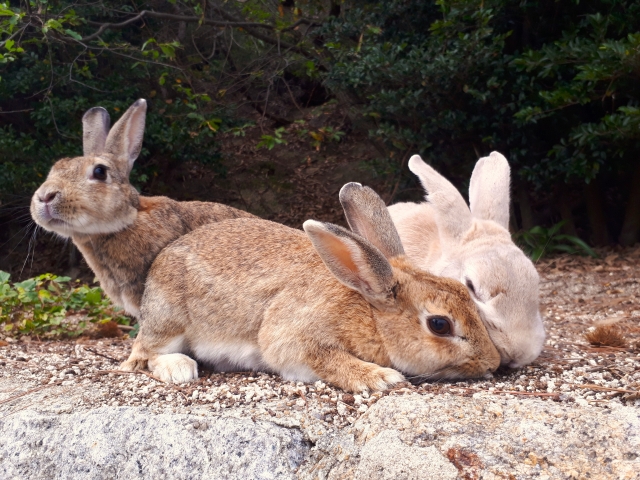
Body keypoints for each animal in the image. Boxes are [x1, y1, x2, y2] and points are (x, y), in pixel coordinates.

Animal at [120, 182, 501, 392]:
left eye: (463, 290)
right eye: (440, 324)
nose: (493, 363)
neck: (368, 311)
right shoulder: (294, 337)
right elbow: (327, 358)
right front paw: (381, 377)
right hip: (168, 321)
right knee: (145, 353)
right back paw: (179, 368)